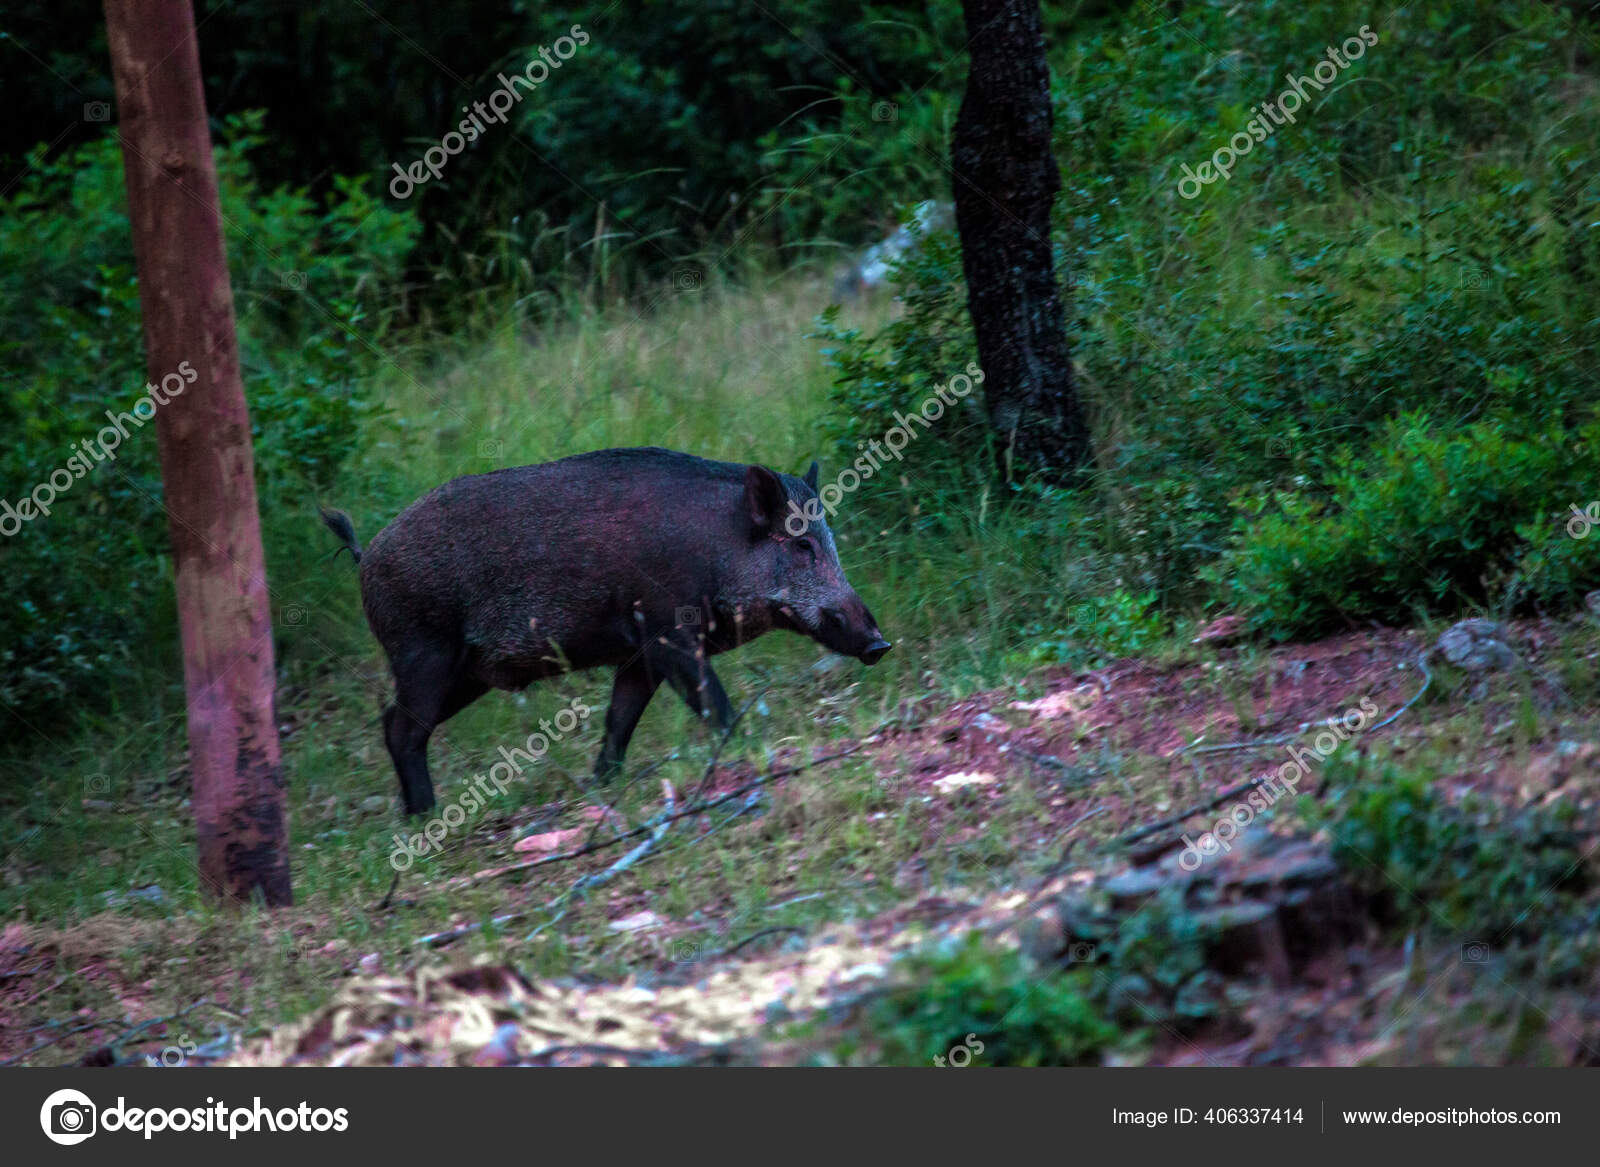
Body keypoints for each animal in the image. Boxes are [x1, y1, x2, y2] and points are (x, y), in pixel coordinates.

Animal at [320, 446, 891, 815]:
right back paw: (427, 814)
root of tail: (366, 556)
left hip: (464, 675)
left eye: (828, 540)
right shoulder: (668, 635)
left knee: (393, 722)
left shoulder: (639, 657)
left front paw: (602, 785)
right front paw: (751, 748)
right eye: (801, 544)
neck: (717, 549)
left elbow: (620, 719)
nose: (880, 643)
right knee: (404, 729)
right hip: (424, 652)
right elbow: (715, 705)